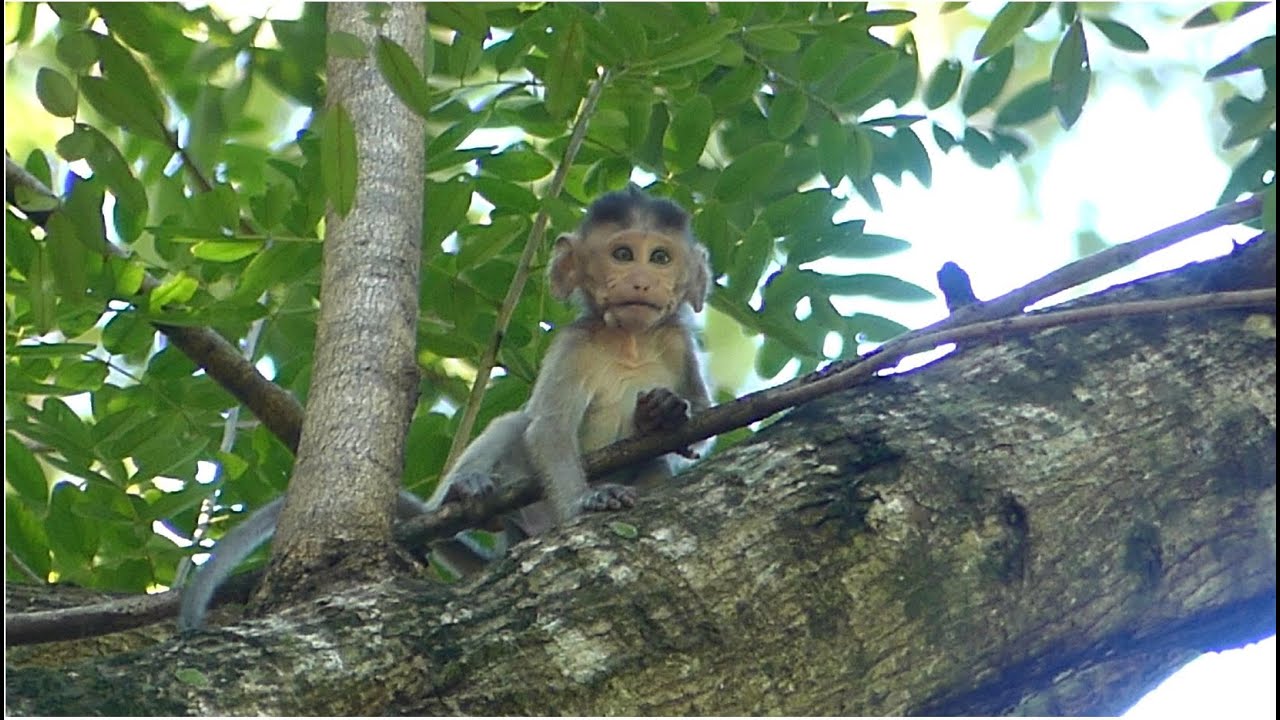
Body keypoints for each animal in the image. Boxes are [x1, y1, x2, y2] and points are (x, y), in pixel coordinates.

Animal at [178, 185, 711, 629]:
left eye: (660, 257)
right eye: (623, 254)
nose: (641, 281)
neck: (629, 342)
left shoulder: (677, 343)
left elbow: (700, 424)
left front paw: (663, 412)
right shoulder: (574, 346)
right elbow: (548, 429)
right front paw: (587, 500)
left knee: (654, 468)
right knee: (514, 423)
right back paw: (464, 490)